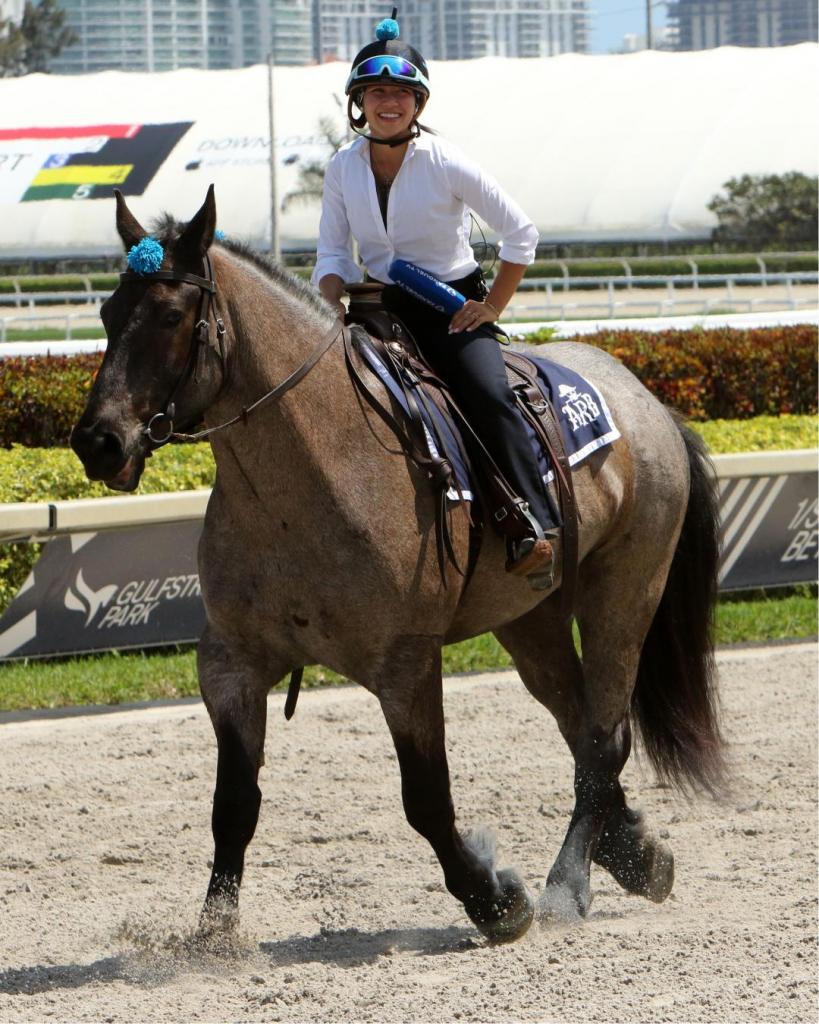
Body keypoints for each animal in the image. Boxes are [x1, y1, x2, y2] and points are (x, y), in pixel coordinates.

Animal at [71, 187, 726, 944]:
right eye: (108, 313)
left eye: (172, 316)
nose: (97, 440)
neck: (313, 474)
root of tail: (645, 401)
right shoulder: (230, 661)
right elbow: (233, 803)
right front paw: (213, 935)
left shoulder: (405, 665)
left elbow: (426, 799)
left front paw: (495, 901)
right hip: (529, 620)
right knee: (580, 728)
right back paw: (638, 856)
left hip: (625, 592)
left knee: (603, 738)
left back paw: (568, 885)